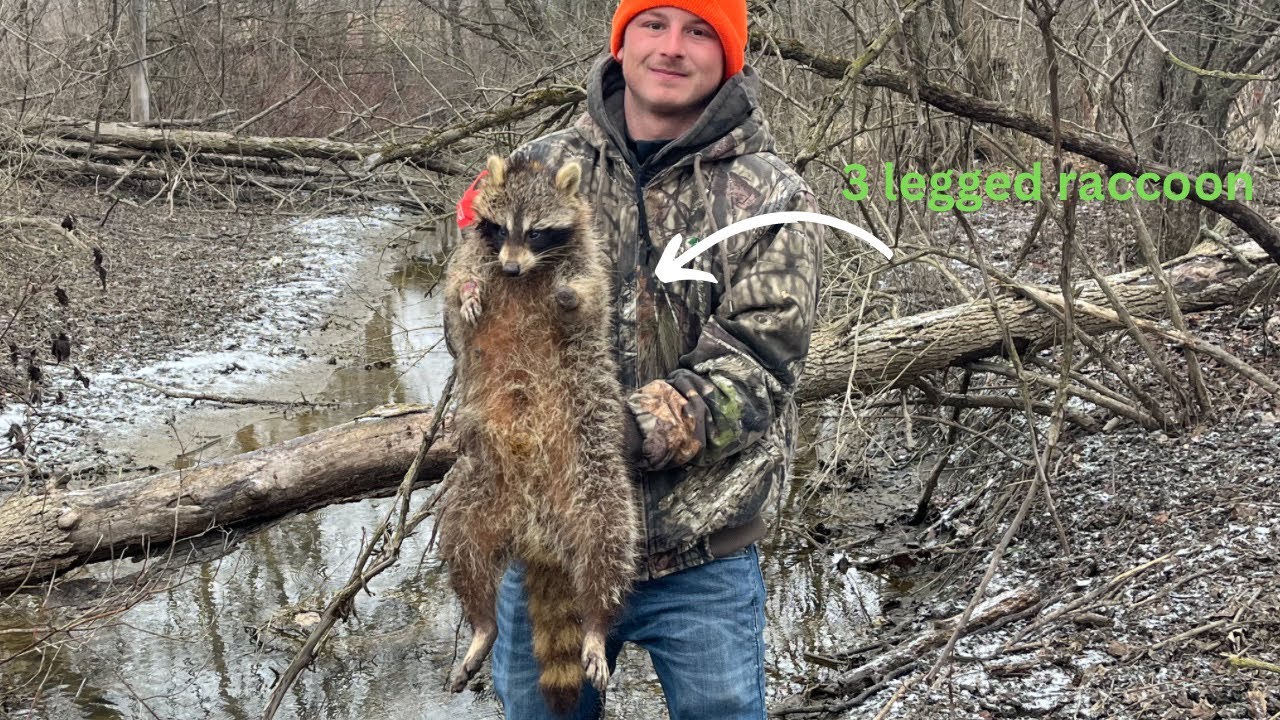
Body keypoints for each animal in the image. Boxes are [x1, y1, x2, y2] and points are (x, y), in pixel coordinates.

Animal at [439, 153, 638, 714]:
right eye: (502, 228)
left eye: (536, 232)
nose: (508, 268)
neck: (527, 275)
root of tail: (535, 528)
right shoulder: (472, 251)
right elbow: (457, 283)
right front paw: (470, 291)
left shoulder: (587, 257)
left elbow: (590, 291)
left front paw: (568, 292)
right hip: (477, 488)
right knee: (461, 545)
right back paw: (482, 622)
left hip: (595, 479)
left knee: (608, 544)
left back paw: (596, 620)